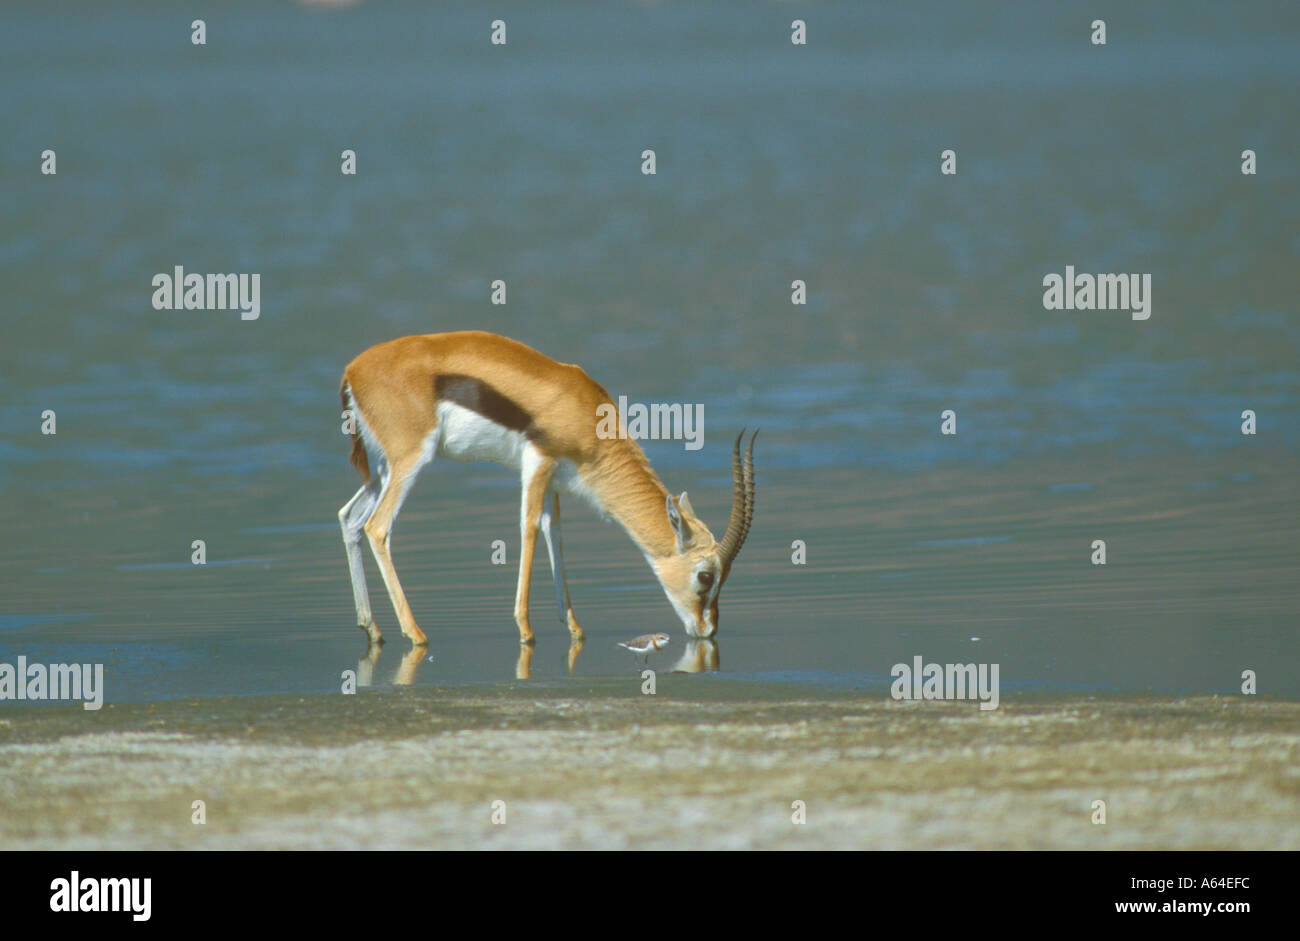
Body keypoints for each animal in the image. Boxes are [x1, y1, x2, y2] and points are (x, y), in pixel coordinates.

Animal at [337, 330, 756, 648]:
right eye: (706, 576)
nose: (707, 630)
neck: (584, 412)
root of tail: (352, 371)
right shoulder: (537, 464)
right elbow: (530, 531)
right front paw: (525, 631)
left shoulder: (555, 480)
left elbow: (555, 534)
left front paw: (574, 628)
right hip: (410, 460)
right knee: (377, 527)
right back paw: (415, 634)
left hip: (382, 470)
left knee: (349, 518)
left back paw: (371, 629)